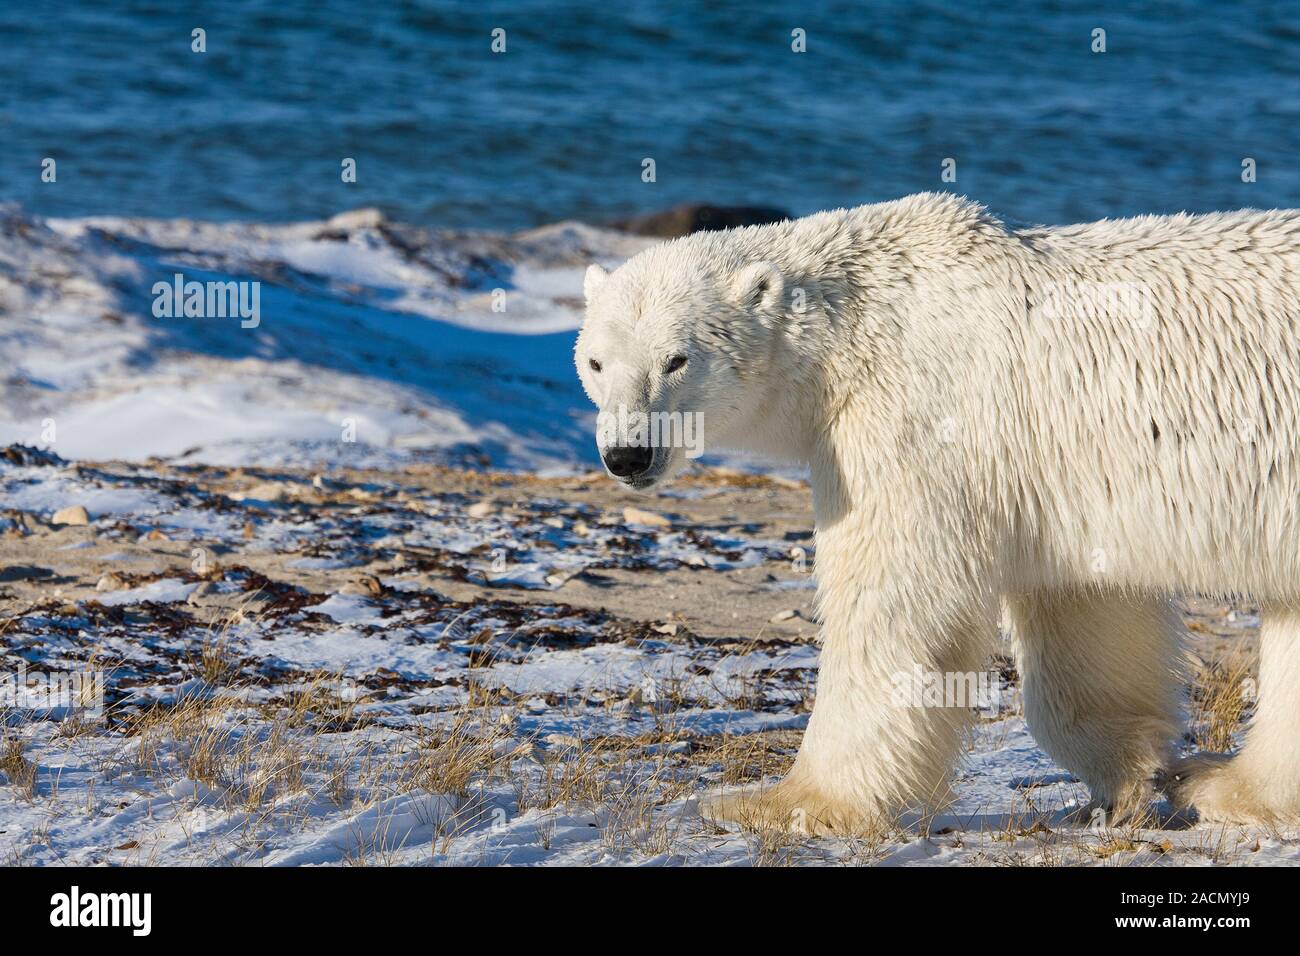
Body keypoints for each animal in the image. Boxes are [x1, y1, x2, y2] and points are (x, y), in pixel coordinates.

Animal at [575, 192, 1300, 834]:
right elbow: (1085, 607)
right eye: (596, 360)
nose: (627, 453)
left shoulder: (917, 419)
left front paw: (781, 803)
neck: (853, 330)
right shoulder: (1056, 474)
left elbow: (897, 597)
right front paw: (1126, 774)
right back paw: (1231, 785)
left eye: (676, 358)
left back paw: (1220, 786)